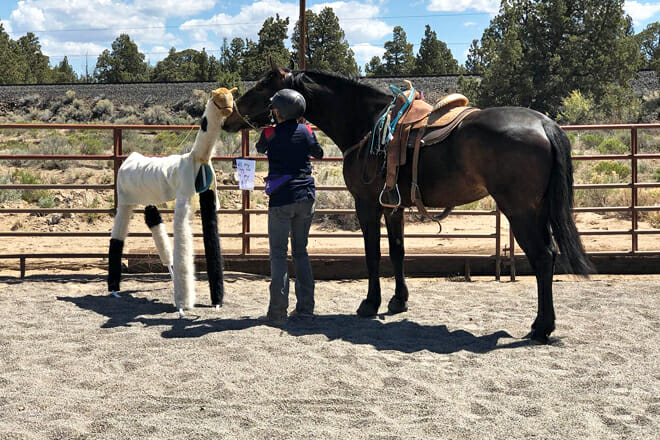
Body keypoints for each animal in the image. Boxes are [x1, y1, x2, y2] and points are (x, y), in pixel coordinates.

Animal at [222, 64, 592, 343]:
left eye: (262, 87)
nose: (228, 118)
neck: (367, 124)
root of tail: (543, 124)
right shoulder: (394, 207)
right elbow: (398, 253)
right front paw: (398, 300)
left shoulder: (367, 205)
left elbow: (373, 256)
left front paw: (370, 304)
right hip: (537, 210)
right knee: (550, 255)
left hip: (521, 212)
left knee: (543, 258)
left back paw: (541, 327)